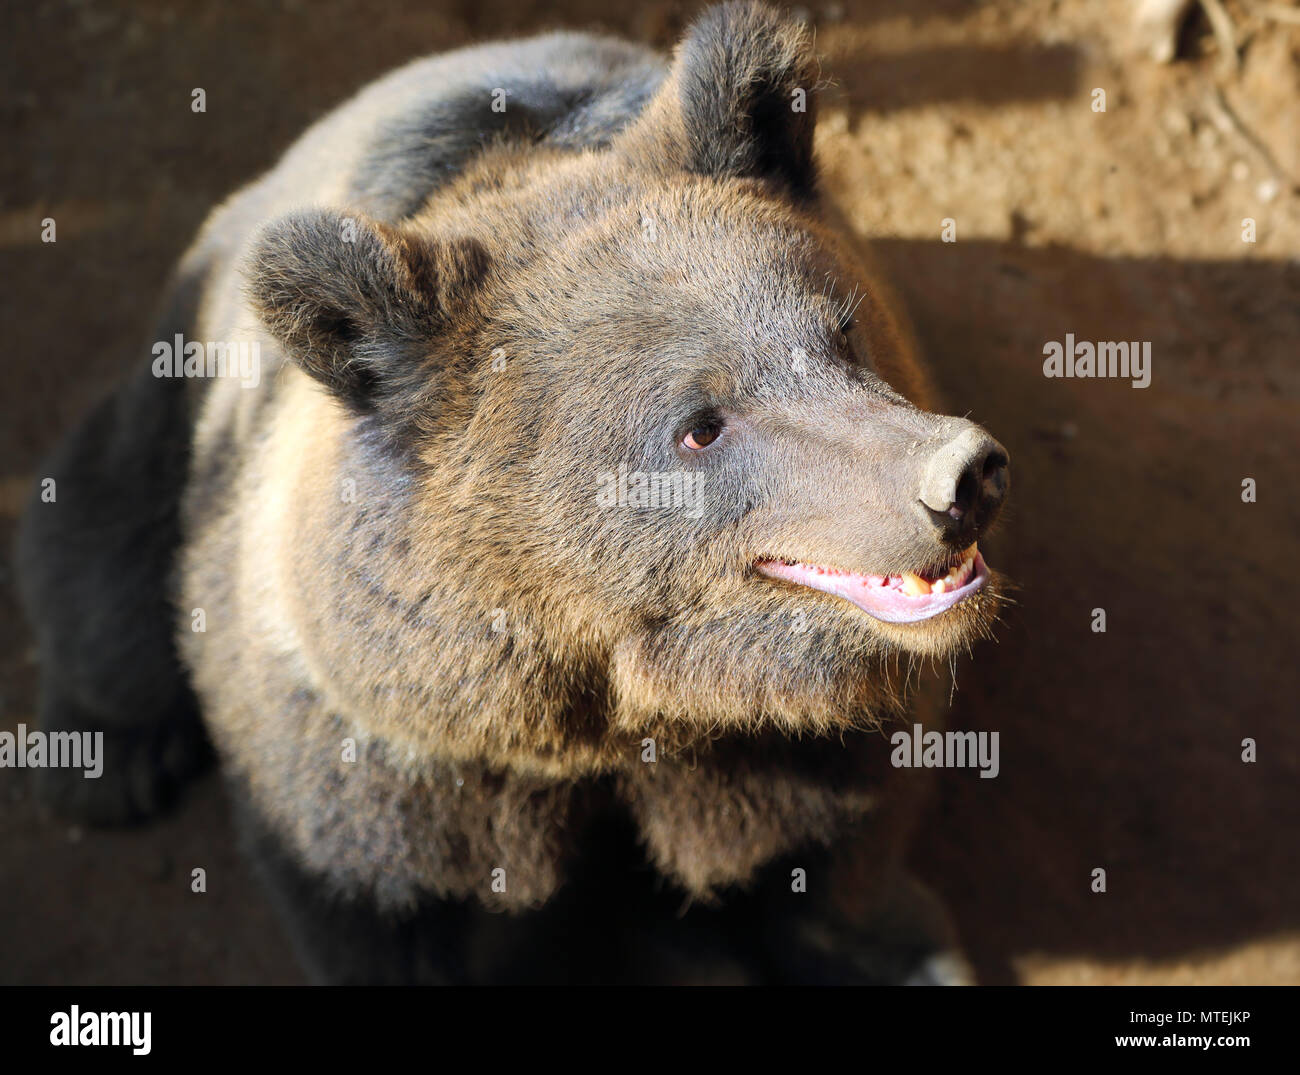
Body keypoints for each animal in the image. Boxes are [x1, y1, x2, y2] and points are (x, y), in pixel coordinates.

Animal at [17, 4, 1003, 987]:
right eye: (700, 424)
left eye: (843, 333)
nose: (957, 476)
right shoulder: (374, 740)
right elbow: (367, 899)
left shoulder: (789, 747)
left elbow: (837, 851)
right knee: (103, 564)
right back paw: (109, 760)